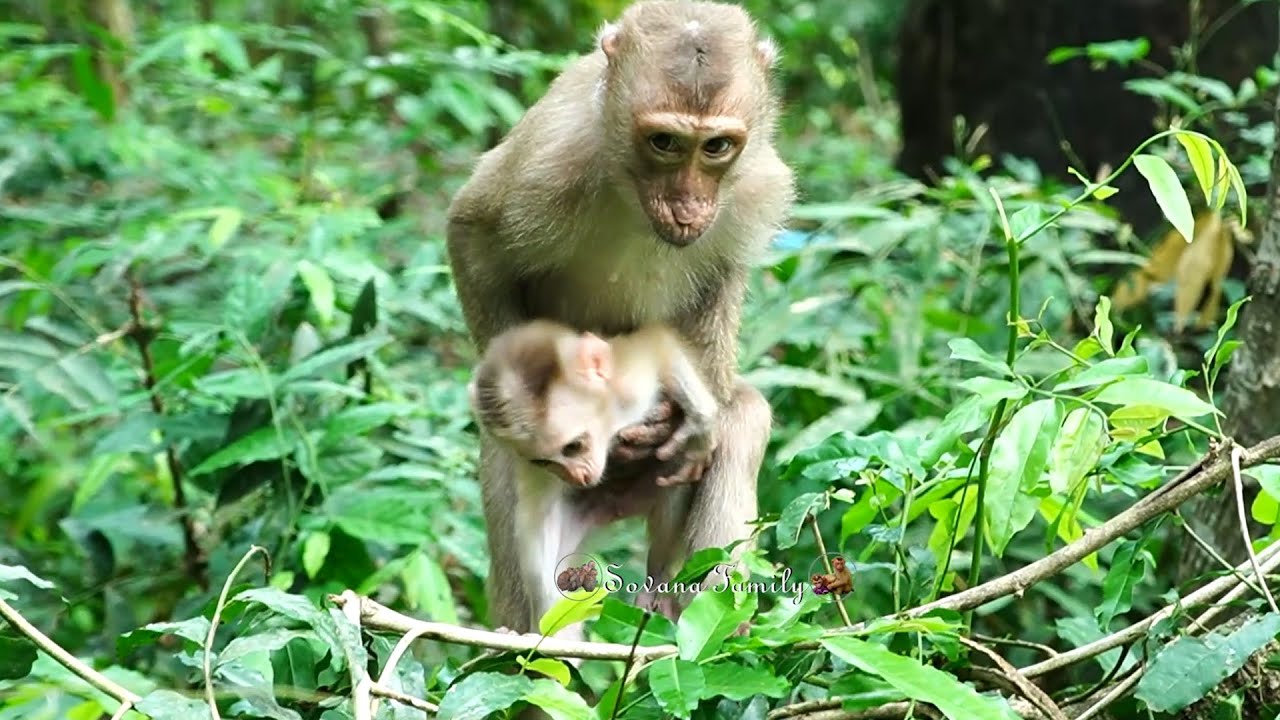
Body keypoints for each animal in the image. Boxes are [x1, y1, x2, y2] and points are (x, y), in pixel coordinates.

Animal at [467, 319, 719, 491]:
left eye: (574, 446)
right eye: (543, 462)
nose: (577, 477)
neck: (611, 416)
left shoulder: (633, 380)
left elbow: (655, 340)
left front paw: (698, 431)